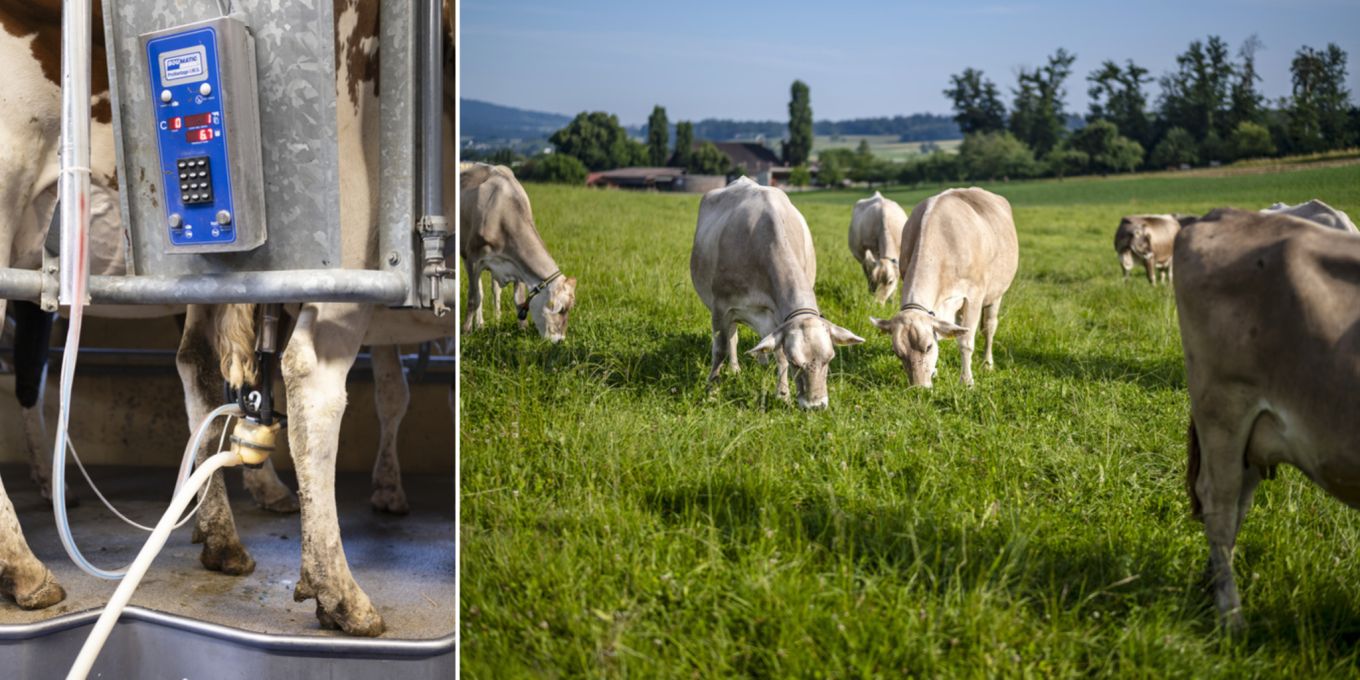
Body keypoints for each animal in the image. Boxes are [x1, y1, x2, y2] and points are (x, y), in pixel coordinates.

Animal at [460, 163, 577, 342]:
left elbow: (519, 300)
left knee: (494, 290)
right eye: (561, 309)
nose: (560, 341)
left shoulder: (517, 266)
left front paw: (522, 329)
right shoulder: (473, 259)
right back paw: (478, 325)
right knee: (479, 291)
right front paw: (465, 331)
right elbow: (474, 298)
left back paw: (488, 322)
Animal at [690, 177, 864, 410]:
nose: (816, 406)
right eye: (796, 362)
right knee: (732, 338)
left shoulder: (779, 318)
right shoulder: (721, 307)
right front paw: (711, 391)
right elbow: (719, 350)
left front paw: (783, 394)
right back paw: (735, 369)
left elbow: (778, 353)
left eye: (829, 359)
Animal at [870, 188, 1017, 388]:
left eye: (928, 347)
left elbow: (966, 342)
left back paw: (987, 363)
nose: (919, 387)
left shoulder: (974, 296)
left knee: (989, 327)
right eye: (898, 353)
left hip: (995, 294)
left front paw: (967, 381)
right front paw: (935, 371)